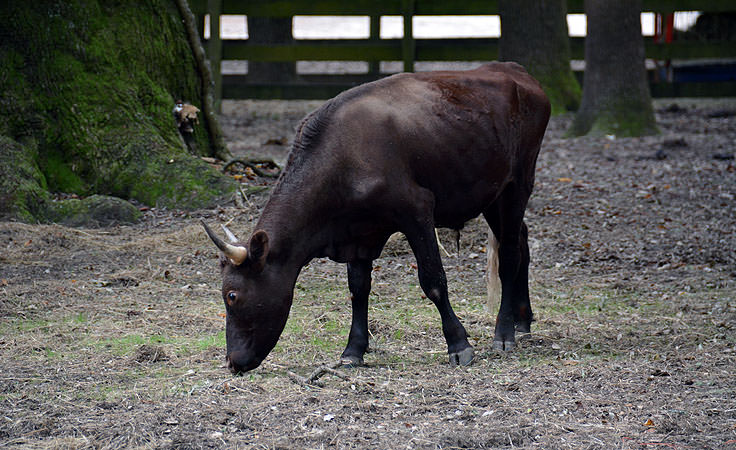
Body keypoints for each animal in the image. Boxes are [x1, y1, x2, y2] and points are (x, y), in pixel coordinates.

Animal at [204, 61, 548, 374]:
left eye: (231, 295)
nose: (233, 361)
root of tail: (514, 70)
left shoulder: (417, 210)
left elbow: (433, 280)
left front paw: (458, 343)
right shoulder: (359, 233)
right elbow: (358, 289)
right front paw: (353, 350)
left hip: (519, 182)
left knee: (509, 255)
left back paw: (504, 332)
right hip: (491, 192)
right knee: (521, 239)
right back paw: (523, 320)